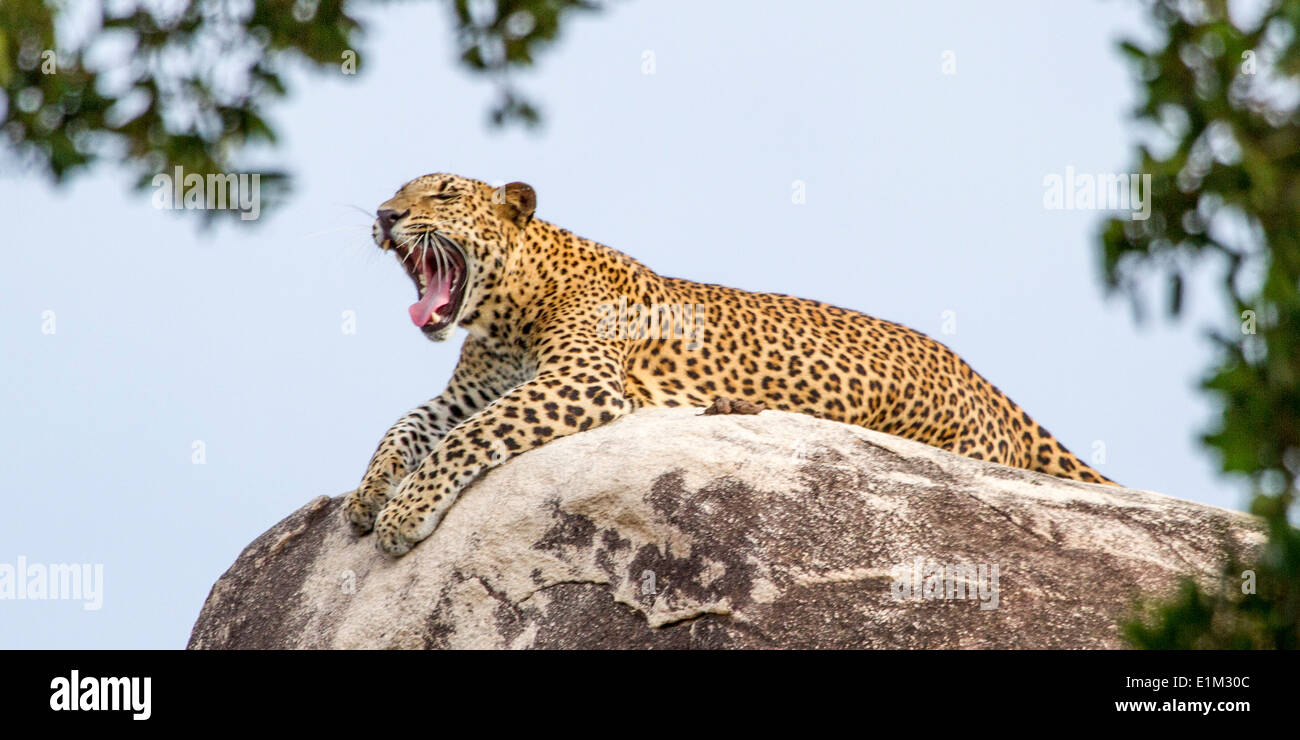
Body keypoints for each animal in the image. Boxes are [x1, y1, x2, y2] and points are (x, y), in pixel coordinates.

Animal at [343, 172, 1117, 557]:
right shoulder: (472, 390)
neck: (505, 309)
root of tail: (983, 379)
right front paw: (367, 495)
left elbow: (462, 440)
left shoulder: (579, 381)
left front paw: (404, 512)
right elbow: (406, 426)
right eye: (399, 190)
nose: (383, 215)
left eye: (444, 193)